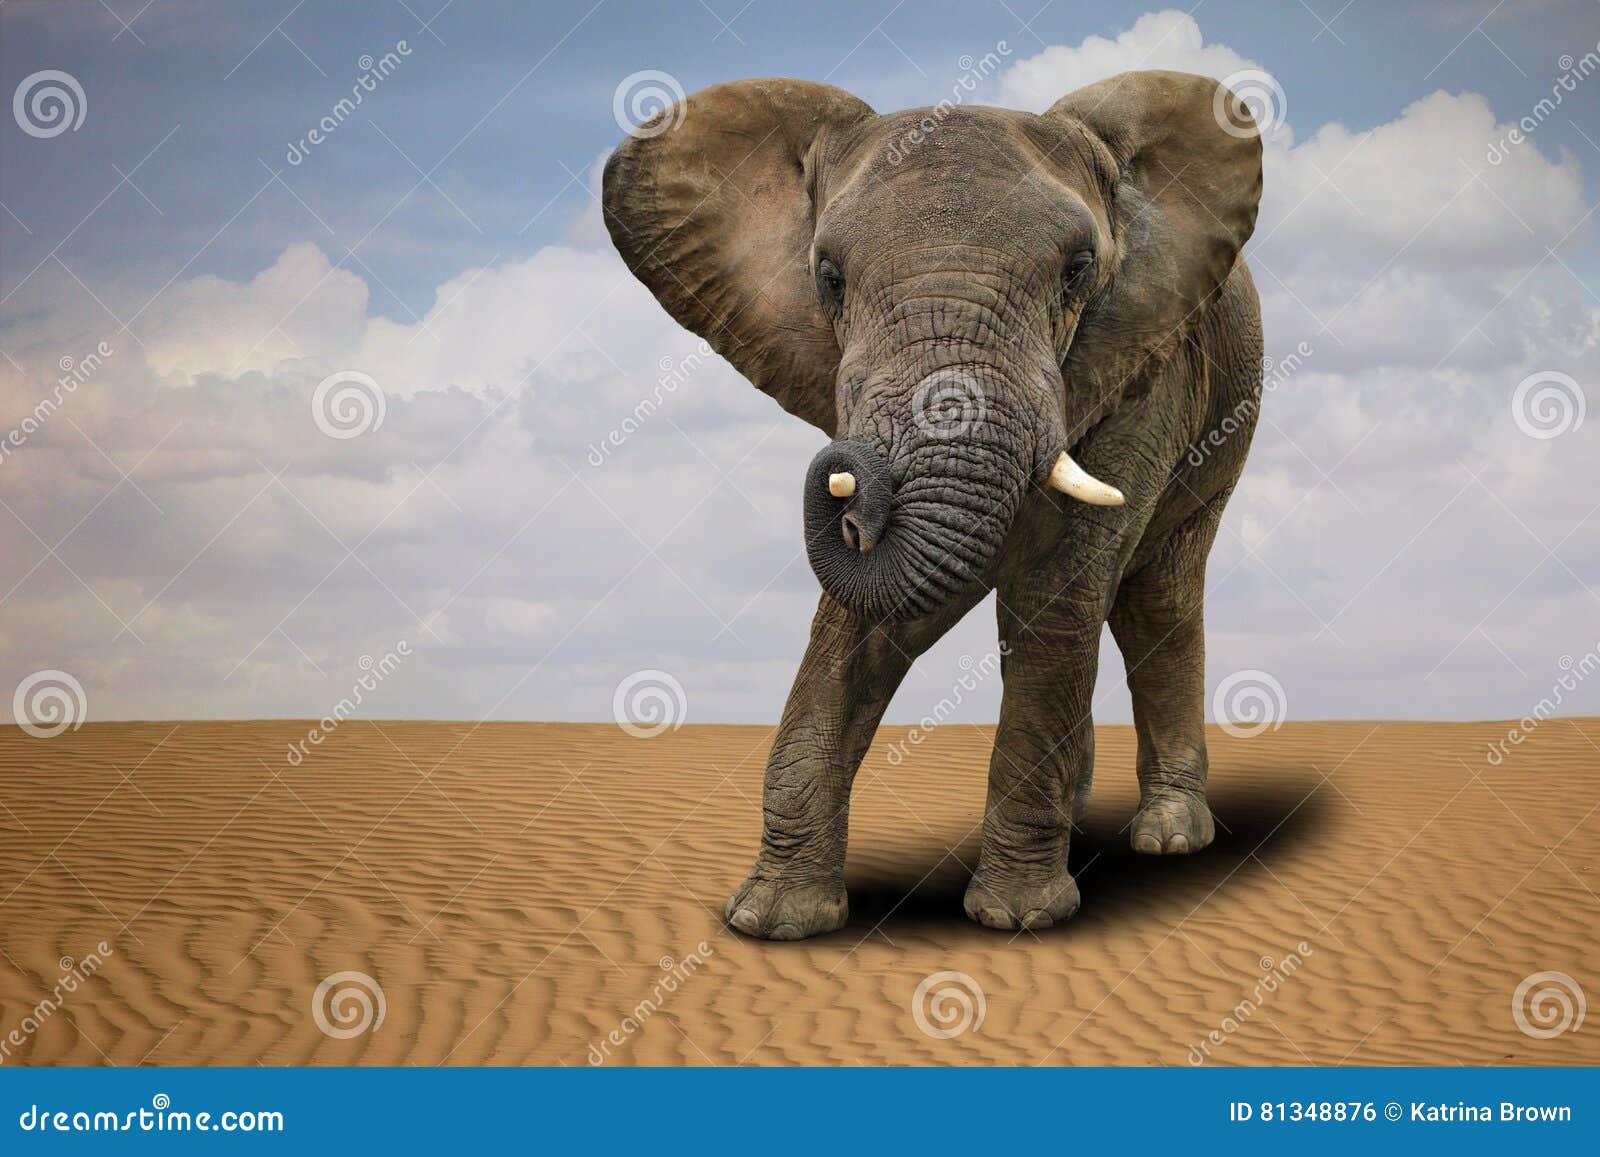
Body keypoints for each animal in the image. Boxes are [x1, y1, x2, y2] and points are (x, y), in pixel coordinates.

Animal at [602, 70, 1265, 940]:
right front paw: (772, 920)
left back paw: (1170, 836)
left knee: (1156, 597)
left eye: (1078, 272)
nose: (843, 467)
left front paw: (1018, 917)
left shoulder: (1143, 363)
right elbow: (866, 614)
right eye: (829, 278)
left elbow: (1056, 591)